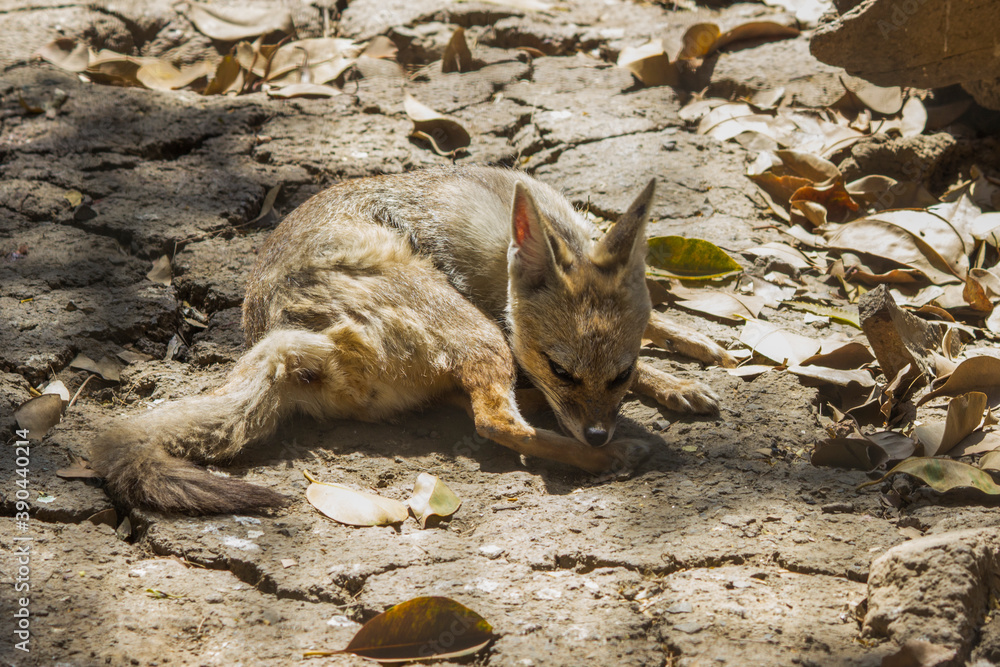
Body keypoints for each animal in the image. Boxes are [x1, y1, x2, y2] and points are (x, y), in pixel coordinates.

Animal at [91, 166, 735, 514]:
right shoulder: (505, 329)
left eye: (617, 376)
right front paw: (663, 385)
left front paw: (687, 360)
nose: (599, 432)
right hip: (477, 335)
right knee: (494, 423)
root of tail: (291, 344)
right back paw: (609, 458)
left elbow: (655, 321)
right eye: (563, 371)